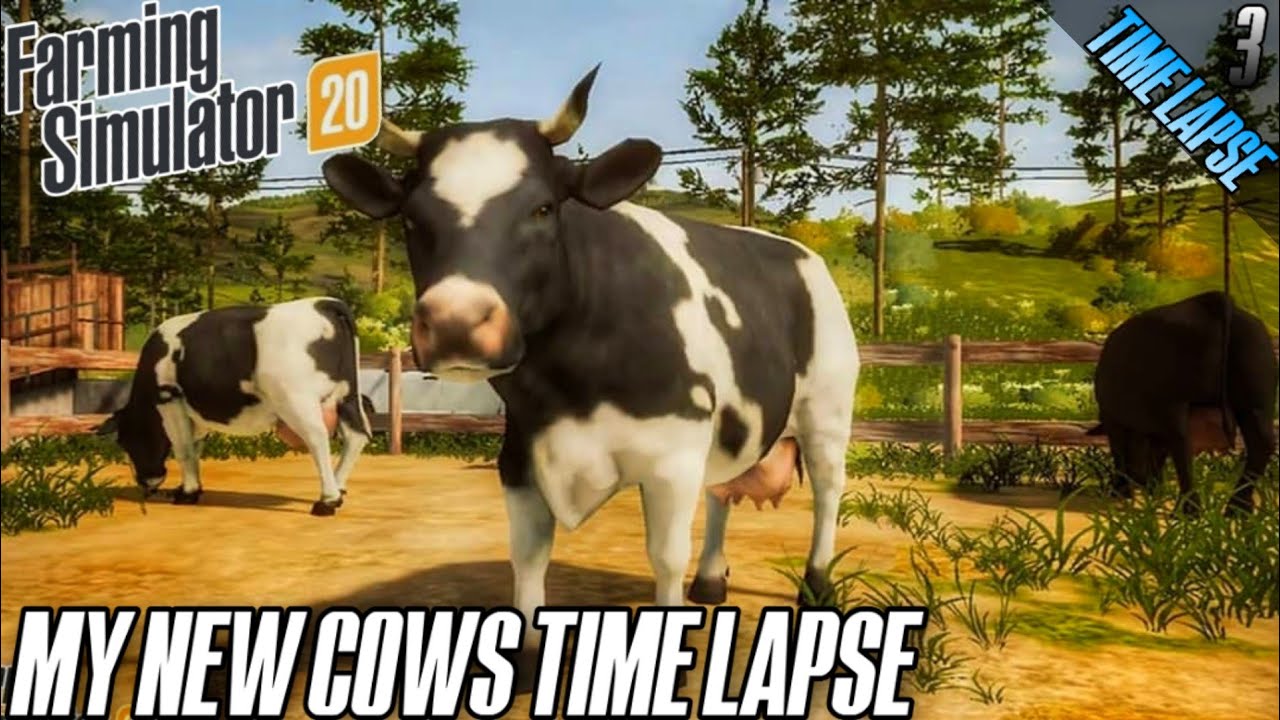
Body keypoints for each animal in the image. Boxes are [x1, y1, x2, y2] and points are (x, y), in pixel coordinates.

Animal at [95, 297, 373, 516]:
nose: (145, 483)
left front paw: (187, 493)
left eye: (126, 441)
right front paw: (191, 488)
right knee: (356, 436)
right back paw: (338, 490)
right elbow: (195, 448)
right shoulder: (195, 412)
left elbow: (183, 449)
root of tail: (322, 302)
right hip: (347, 397)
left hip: (296, 399)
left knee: (317, 438)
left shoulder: (169, 398)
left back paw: (327, 501)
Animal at [321, 63, 859, 643]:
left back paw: (817, 586)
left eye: (542, 208)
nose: (455, 323)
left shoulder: (673, 457)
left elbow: (665, 557)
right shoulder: (520, 455)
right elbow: (527, 558)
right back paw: (711, 581)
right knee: (722, 492)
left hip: (827, 410)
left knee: (828, 490)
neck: (567, 387)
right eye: (412, 219)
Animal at [1088, 291, 1278, 515]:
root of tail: (1215, 302)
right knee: (1261, 445)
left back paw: (1188, 510)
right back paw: (1237, 509)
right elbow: (1156, 455)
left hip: (1175, 402)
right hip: (1257, 399)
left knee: (1182, 445)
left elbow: (1120, 452)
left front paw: (1121, 491)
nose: (1140, 481)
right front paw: (1154, 489)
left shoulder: (1113, 419)